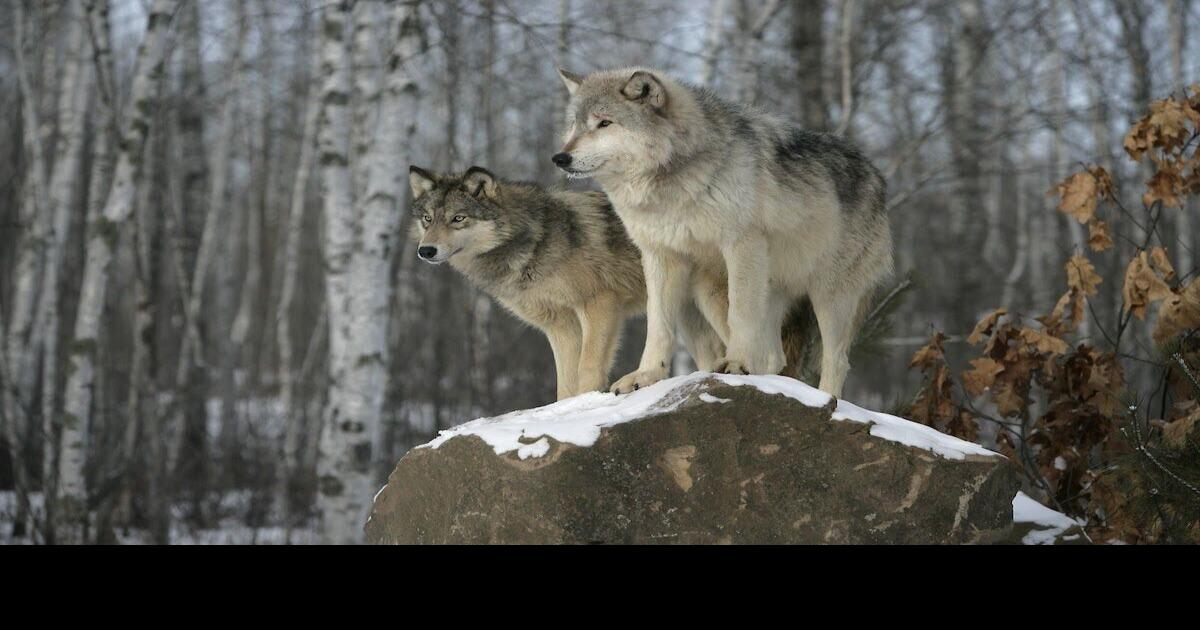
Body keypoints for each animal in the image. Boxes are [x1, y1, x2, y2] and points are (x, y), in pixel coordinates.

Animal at [408, 165, 724, 400]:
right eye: (428, 219)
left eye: (458, 218)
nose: (426, 251)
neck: (536, 240)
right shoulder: (560, 325)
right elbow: (565, 384)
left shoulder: (599, 303)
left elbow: (588, 368)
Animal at [553, 67, 894, 397]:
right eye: (574, 125)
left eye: (604, 123)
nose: (560, 157)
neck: (672, 186)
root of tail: (878, 176)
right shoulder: (660, 256)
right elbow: (658, 324)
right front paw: (646, 375)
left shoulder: (742, 245)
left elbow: (740, 314)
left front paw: (737, 362)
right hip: (722, 288)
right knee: (775, 356)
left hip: (829, 295)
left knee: (837, 360)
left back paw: (826, 399)